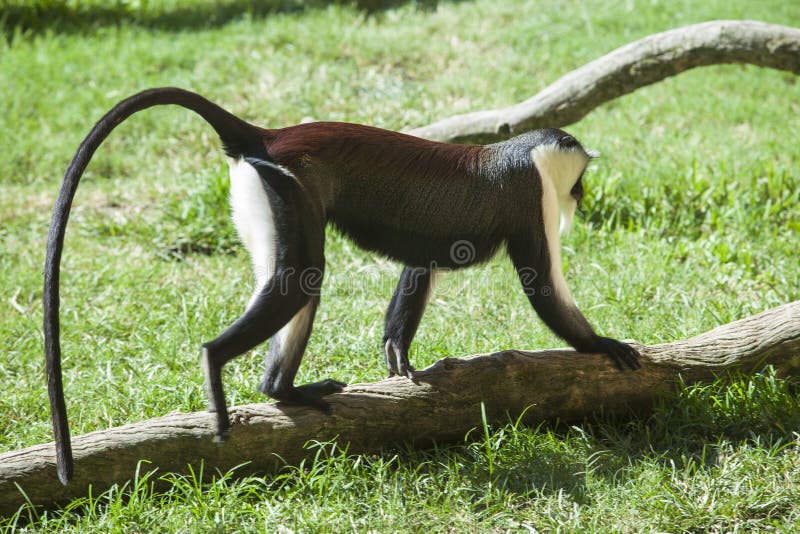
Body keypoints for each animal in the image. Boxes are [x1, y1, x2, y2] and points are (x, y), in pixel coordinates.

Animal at [44, 87, 640, 485]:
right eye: (580, 177)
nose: (580, 196)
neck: (520, 154)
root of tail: (269, 137)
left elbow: (421, 263)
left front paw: (398, 355)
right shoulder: (529, 198)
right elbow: (540, 282)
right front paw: (600, 344)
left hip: (269, 195)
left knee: (300, 284)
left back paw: (280, 390)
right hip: (289, 189)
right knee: (301, 277)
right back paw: (222, 363)